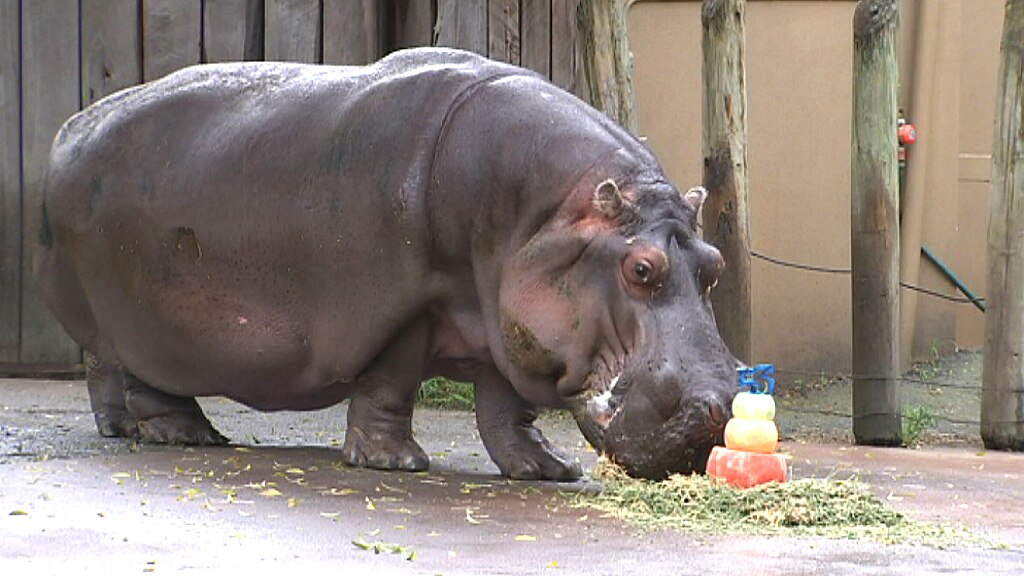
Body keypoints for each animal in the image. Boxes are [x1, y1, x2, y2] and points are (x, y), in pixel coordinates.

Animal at [35, 48, 738, 480]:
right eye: (640, 269)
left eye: (715, 263)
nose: (724, 408)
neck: (548, 214)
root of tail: (71, 126)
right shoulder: (406, 308)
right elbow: (391, 382)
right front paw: (394, 463)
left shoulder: (504, 320)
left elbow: (507, 405)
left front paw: (545, 470)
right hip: (131, 317)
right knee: (148, 379)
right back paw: (187, 435)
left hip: (107, 326)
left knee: (104, 372)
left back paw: (122, 428)